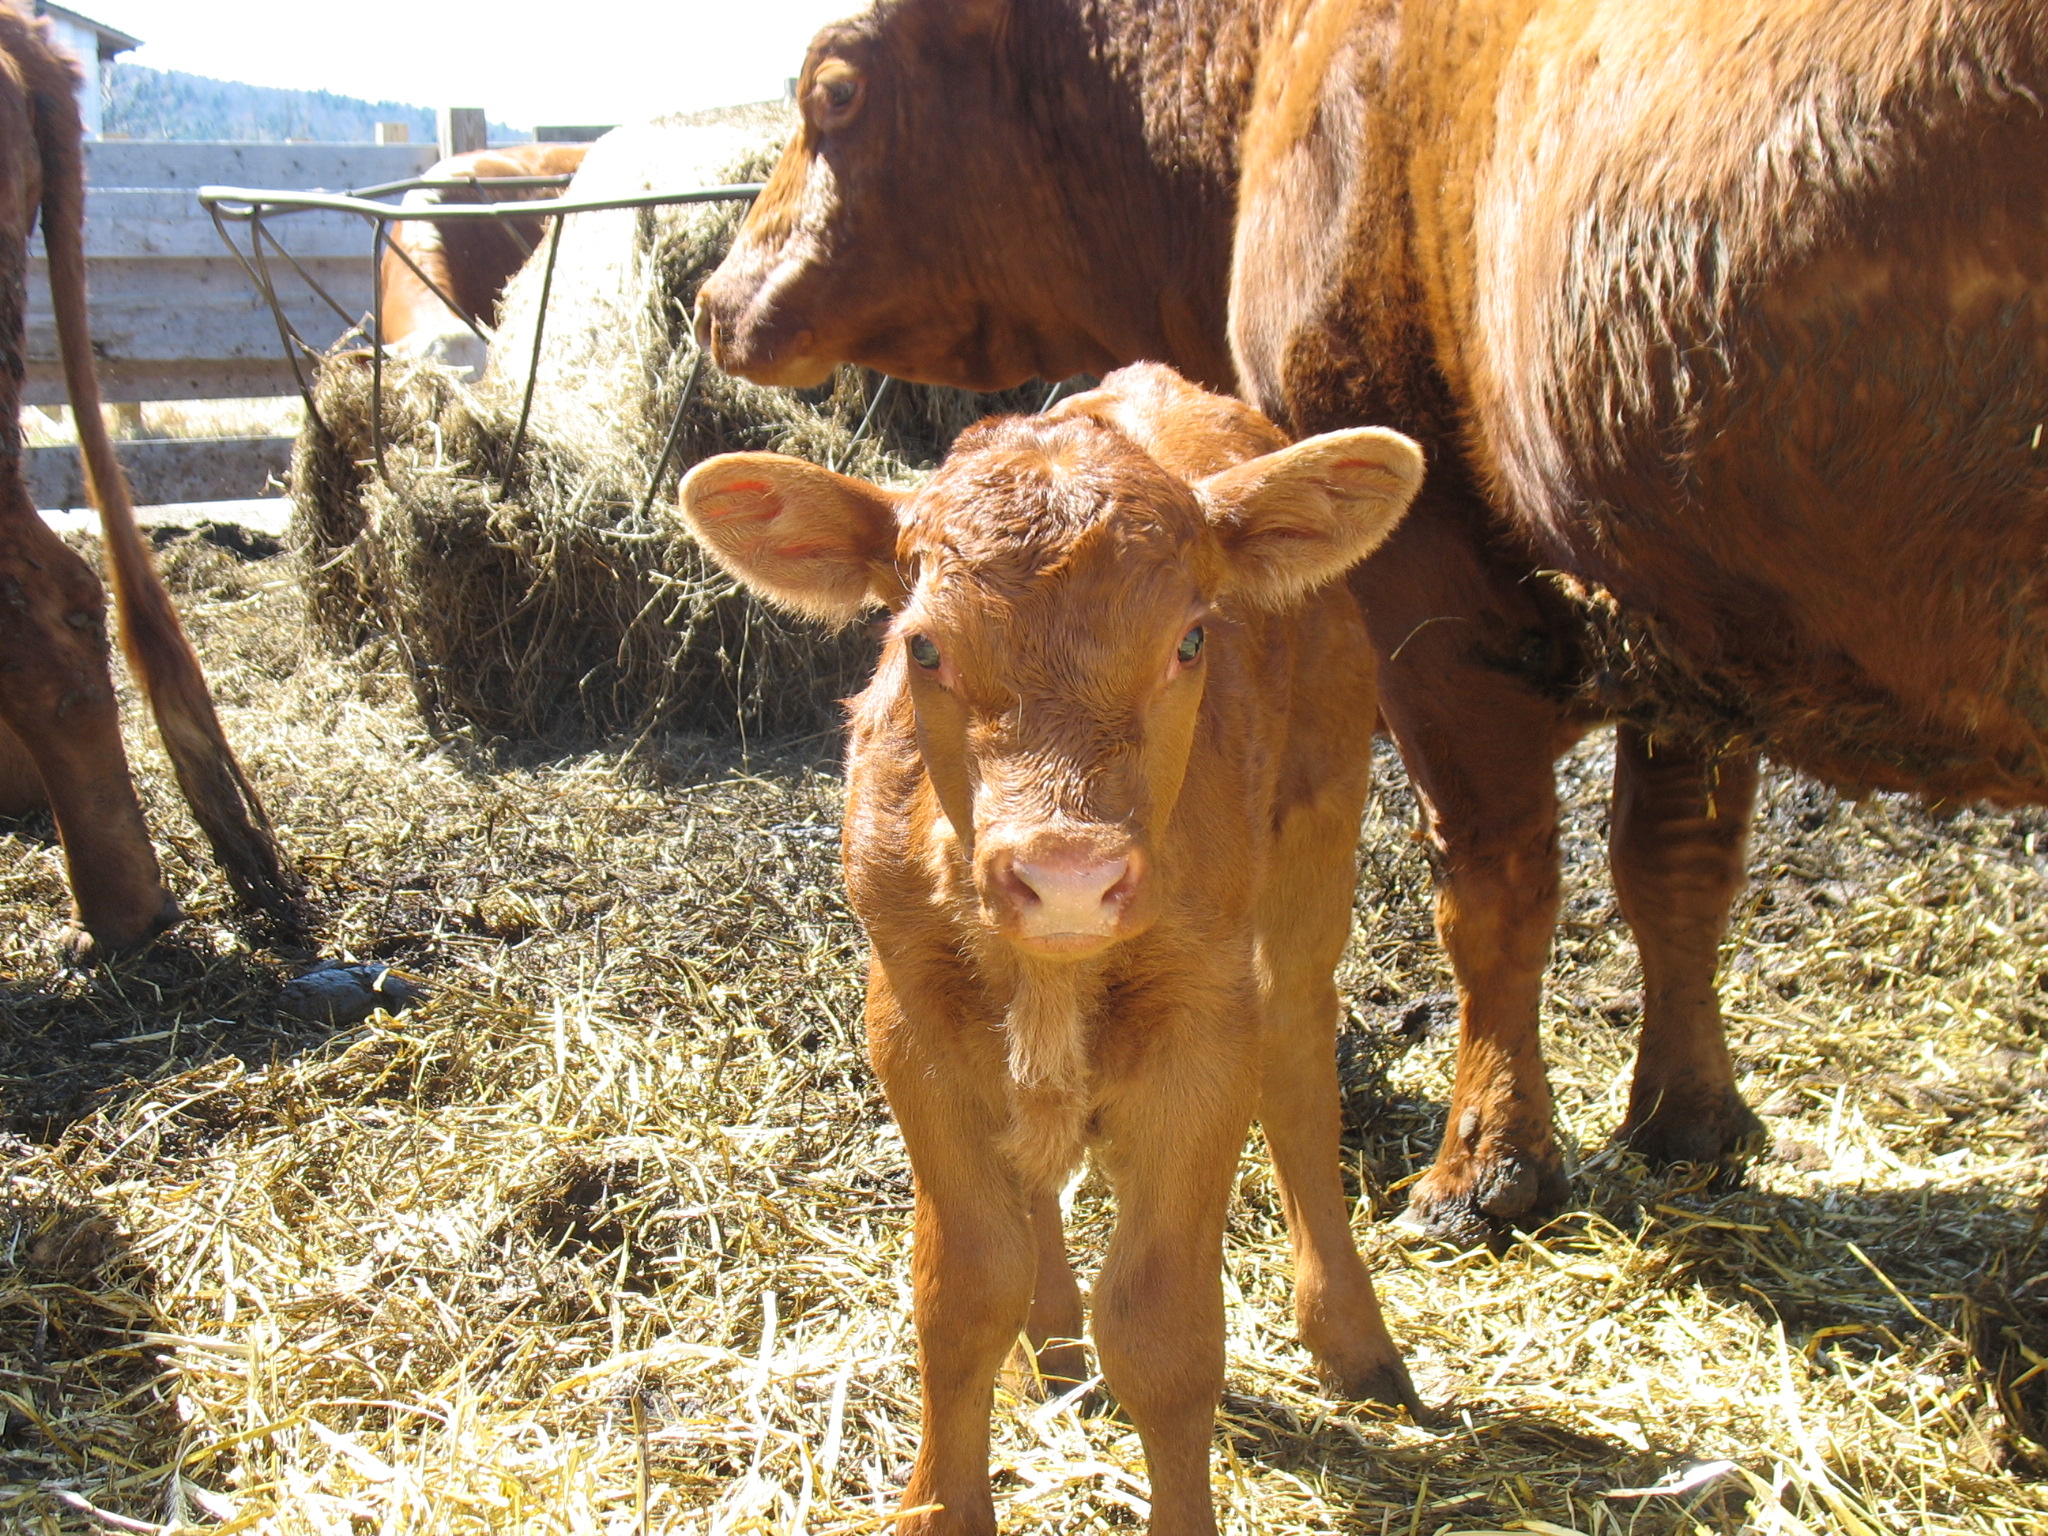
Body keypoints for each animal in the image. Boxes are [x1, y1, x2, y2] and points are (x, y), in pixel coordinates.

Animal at [680, 362, 1426, 1536]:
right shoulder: (909, 1020)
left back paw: (1353, 1341)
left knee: (1301, 1067)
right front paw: (940, 1504)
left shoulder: (1201, 1035)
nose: (1068, 874)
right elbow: (960, 1292)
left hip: (1320, 828)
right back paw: (1056, 1339)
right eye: (921, 644)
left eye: (1190, 640)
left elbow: (1164, 1329)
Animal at [691, 0, 2048, 1245]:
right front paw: (1684, 1124)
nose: (712, 296)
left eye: (834, 91)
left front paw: (1486, 1163)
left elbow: (1493, 886)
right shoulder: (1681, 613)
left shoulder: (1433, 591)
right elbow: (1675, 867)